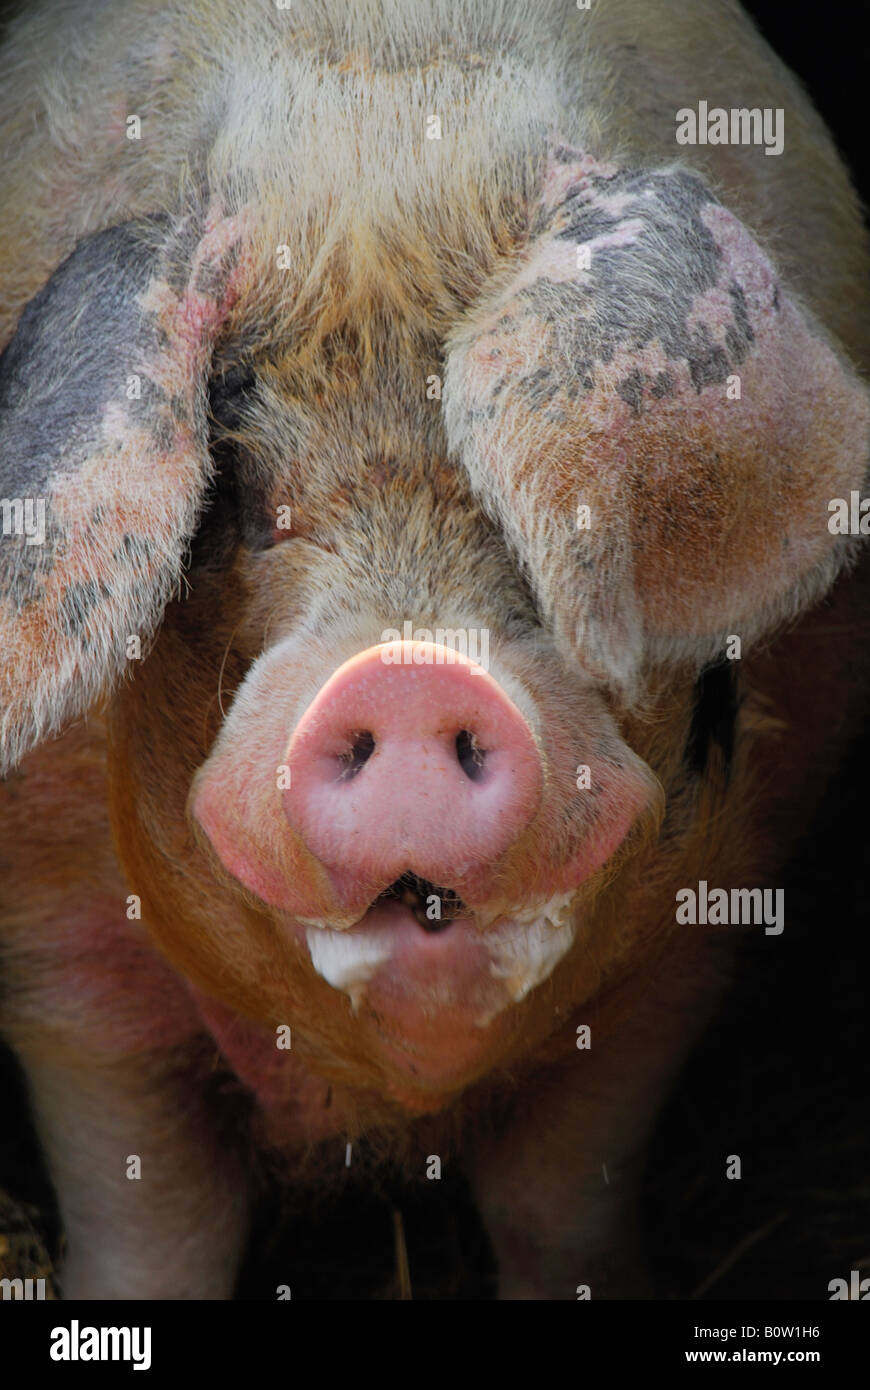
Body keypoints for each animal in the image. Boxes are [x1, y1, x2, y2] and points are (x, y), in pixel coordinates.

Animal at [1, 0, 869, 1300]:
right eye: (242, 501)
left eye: (524, 498)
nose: (410, 670)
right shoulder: (68, 969)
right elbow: (155, 1227)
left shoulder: (689, 947)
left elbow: (558, 1198)